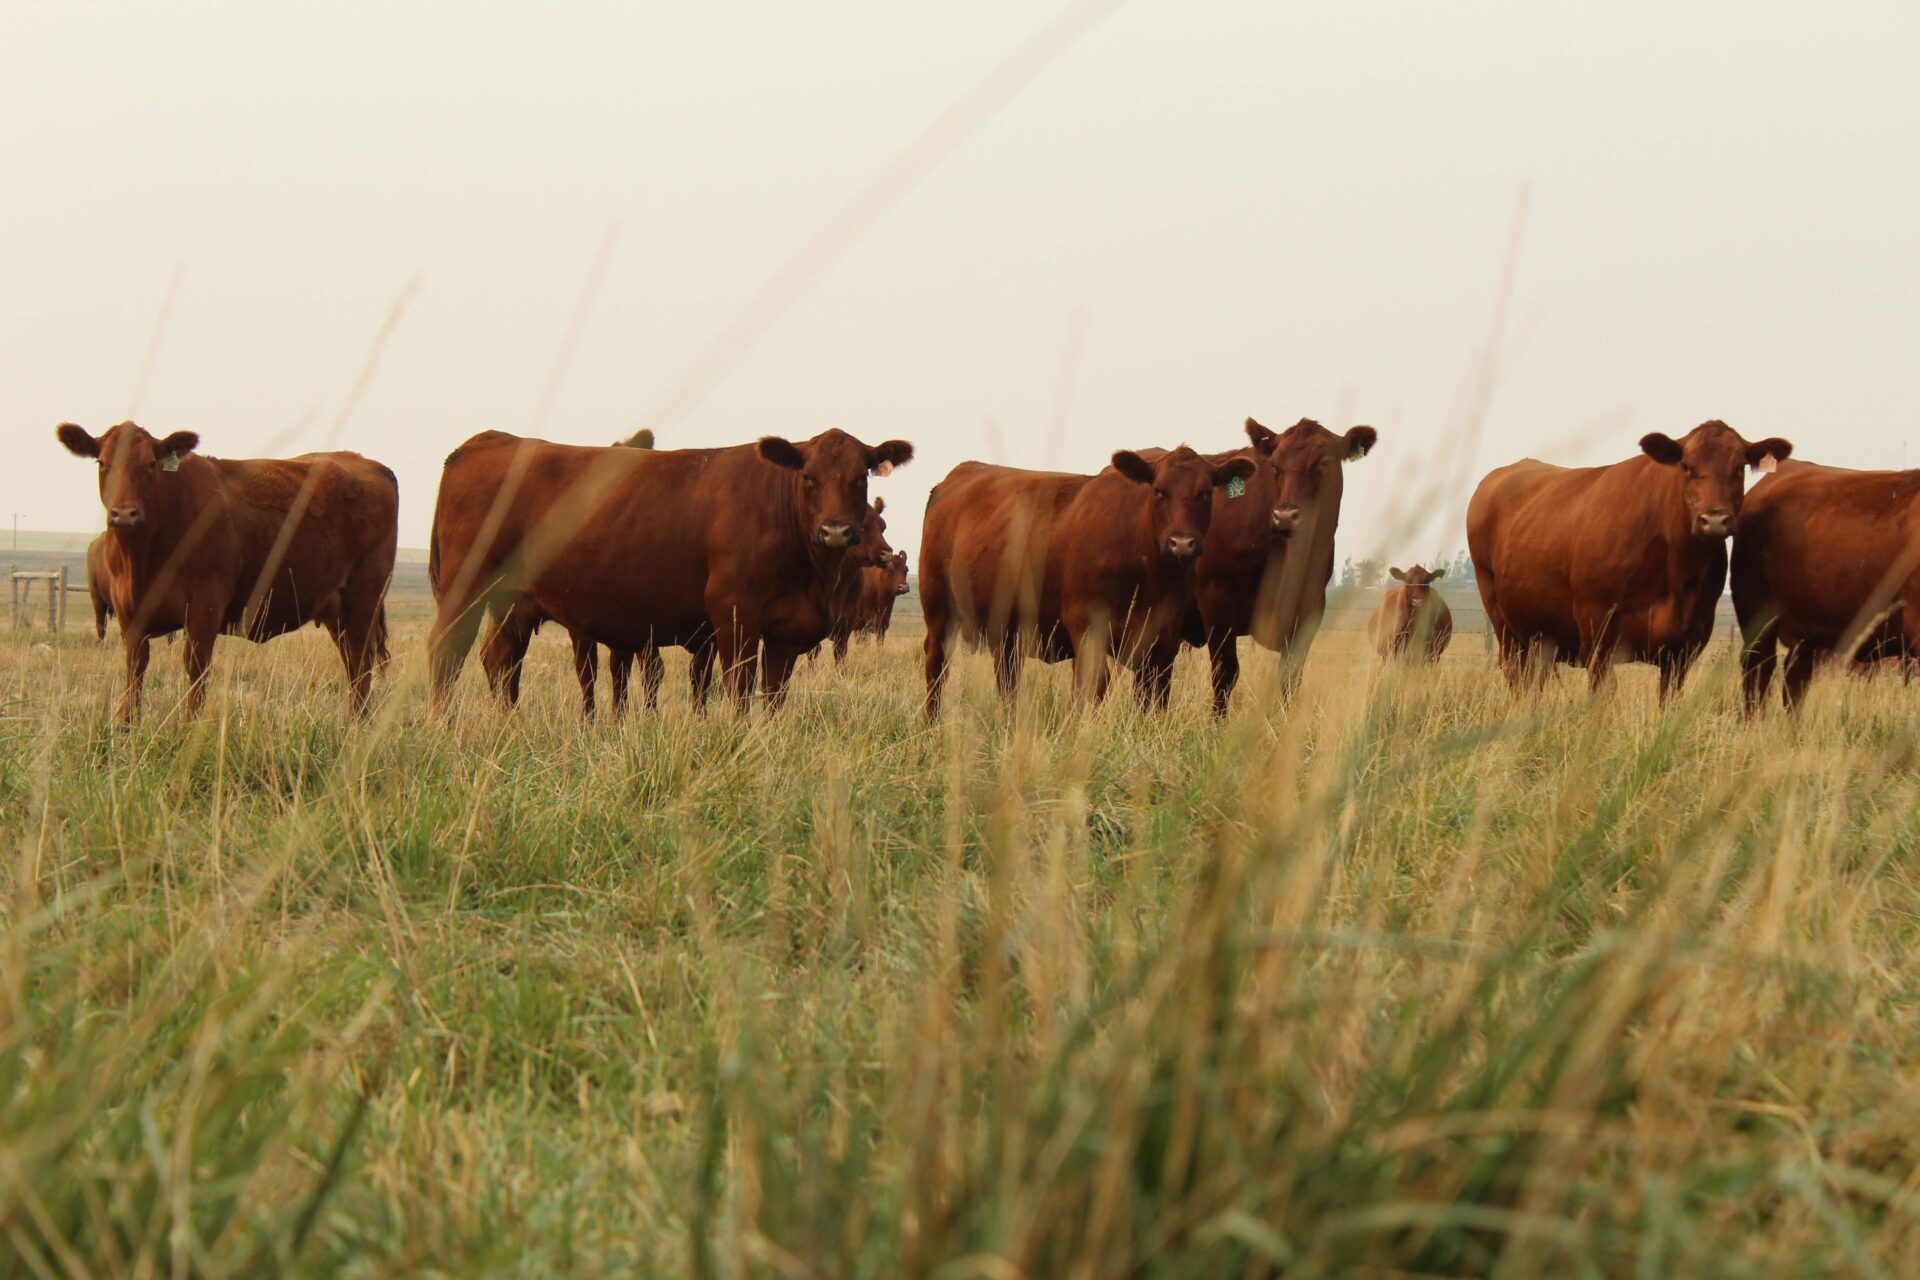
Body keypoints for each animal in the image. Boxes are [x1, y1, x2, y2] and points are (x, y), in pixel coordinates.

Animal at [55, 420, 398, 720]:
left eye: (151, 464)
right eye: (102, 462)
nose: (125, 514)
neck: (143, 557)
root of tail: (370, 464)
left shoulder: (205, 606)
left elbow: (196, 668)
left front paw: (189, 726)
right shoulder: (130, 614)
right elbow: (134, 668)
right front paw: (127, 726)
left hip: (363, 601)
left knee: (360, 663)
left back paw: (356, 725)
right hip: (337, 611)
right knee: (352, 663)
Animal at [428, 428, 913, 713]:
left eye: (860, 477)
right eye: (808, 477)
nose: (836, 531)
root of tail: (489, 439)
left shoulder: (785, 632)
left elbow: (773, 697)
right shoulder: (734, 617)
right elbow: (738, 690)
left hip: (514, 603)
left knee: (500, 659)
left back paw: (508, 728)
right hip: (464, 591)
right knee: (447, 654)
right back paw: (443, 728)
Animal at [919, 446, 1256, 715]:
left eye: (1206, 493)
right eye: (1159, 491)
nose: (1181, 543)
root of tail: (959, 473)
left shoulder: (1164, 642)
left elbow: (1153, 698)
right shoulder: (1087, 627)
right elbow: (1093, 689)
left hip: (1007, 631)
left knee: (1007, 678)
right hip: (939, 613)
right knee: (937, 668)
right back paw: (933, 725)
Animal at [1467, 420, 1792, 700]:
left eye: (1739, 468)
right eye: (1686, 466)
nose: (1714, 520)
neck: (1676, 568)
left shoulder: (1686, 645)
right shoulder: (1596, 629)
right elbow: (1603, 692)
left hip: (1542, 635)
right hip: (1504, 624)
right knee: (1517, 676)